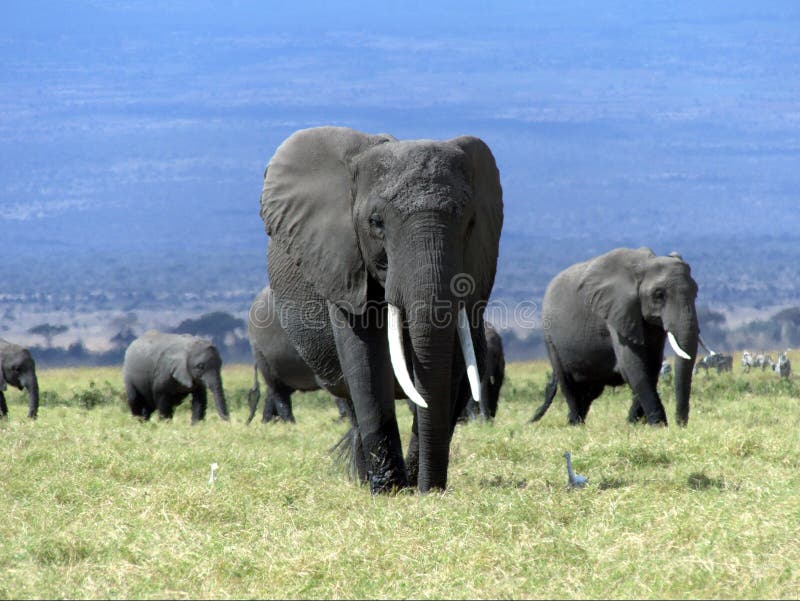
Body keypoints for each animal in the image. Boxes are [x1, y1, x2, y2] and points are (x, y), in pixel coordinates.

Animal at [260, 126, 503, 493]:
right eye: (376, 222)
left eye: (470, 223)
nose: (428, 489)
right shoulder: (342, 262)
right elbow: (364, 354)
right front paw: (390, 491)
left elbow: (455, 359)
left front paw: (419, 486)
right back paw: (367, 480)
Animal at [529, 248, 700, 426]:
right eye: (658, 295)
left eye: (695, 292)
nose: (680, 425)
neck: (644, 265)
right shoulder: (616, 311)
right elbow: (632, 365)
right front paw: (658, 425)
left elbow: (652, 365)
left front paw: (633, 424)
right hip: (549, 337)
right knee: (568, 384)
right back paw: (576, 424)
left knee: (590, 391)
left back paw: (574, 423)